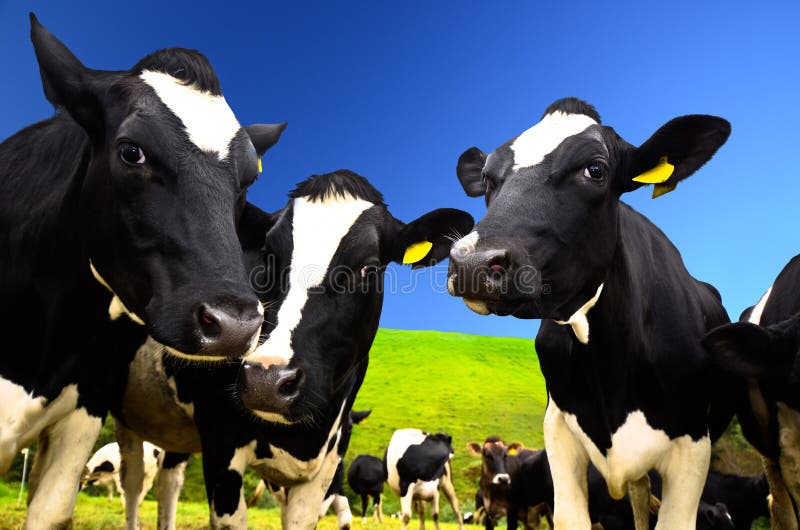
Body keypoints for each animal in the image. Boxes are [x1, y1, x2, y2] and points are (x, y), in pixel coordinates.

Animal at [107, 170, 474, 529]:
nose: (267, 379)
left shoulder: (328, 460)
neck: (302, 437)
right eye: (268, 255)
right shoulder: (220, 440)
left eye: (368, 268)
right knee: (134, 483)